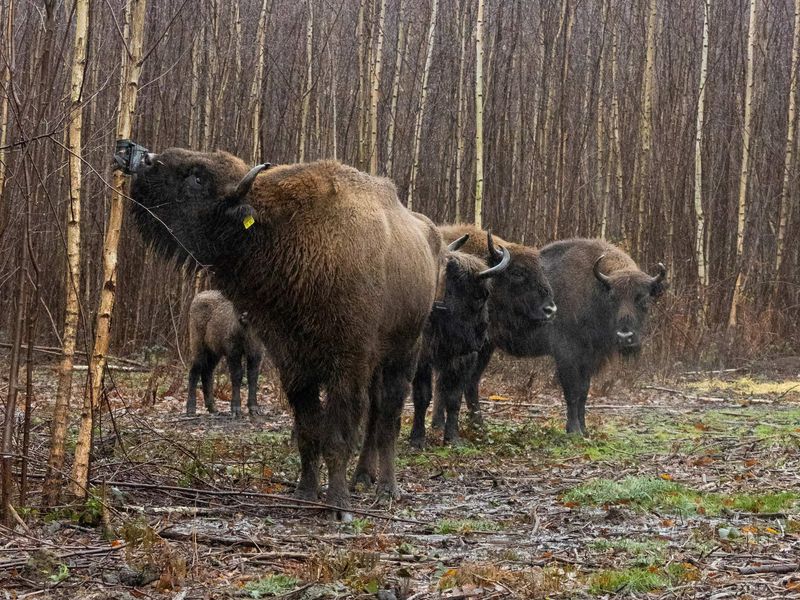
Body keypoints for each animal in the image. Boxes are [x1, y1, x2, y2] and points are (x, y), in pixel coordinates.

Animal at [122, 146, 441, 516]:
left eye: (198, 177)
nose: (141, 159)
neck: (280, 229)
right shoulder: (293, 365)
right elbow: (308, 432)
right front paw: (304, 493)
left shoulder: (347, 365)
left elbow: (337, 436)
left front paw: (338, 505)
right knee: (376, 415)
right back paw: (362, 478)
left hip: (403, 353)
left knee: (388, 417)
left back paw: (387, 489)